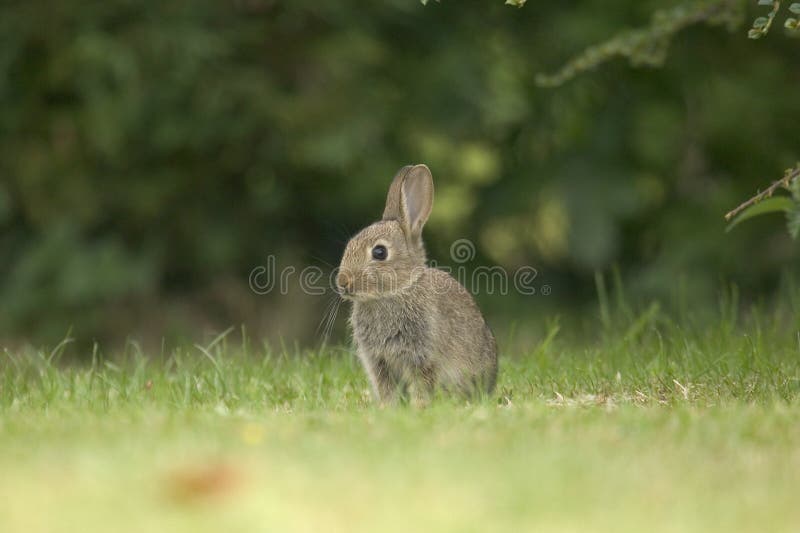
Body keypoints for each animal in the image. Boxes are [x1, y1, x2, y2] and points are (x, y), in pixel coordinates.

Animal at [336, 164, 497, 404]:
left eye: (380, 252)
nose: (342, 282)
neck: (398, 291)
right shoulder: (379, 362)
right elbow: (387, 388)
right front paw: (388, 408)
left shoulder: (423, 357)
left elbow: (422, 385)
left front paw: (418, 407)